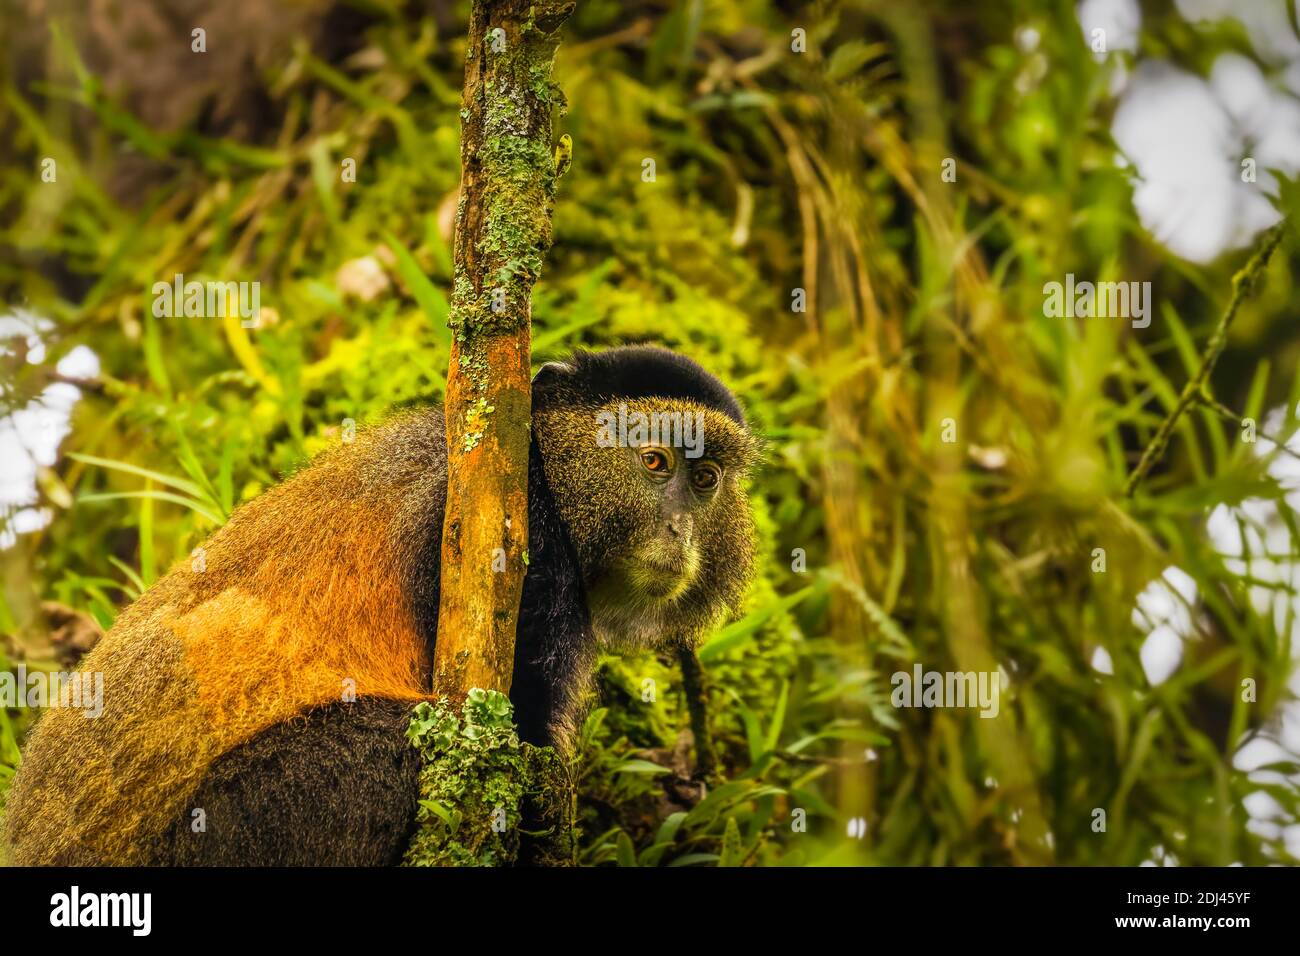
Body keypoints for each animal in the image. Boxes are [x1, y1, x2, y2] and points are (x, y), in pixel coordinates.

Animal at [3, 345, 759, 866]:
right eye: (655, 462)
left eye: (707, 478)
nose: (680, 531)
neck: (541, 467)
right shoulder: (519, 547)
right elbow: (521, 739)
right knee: (385, 751)